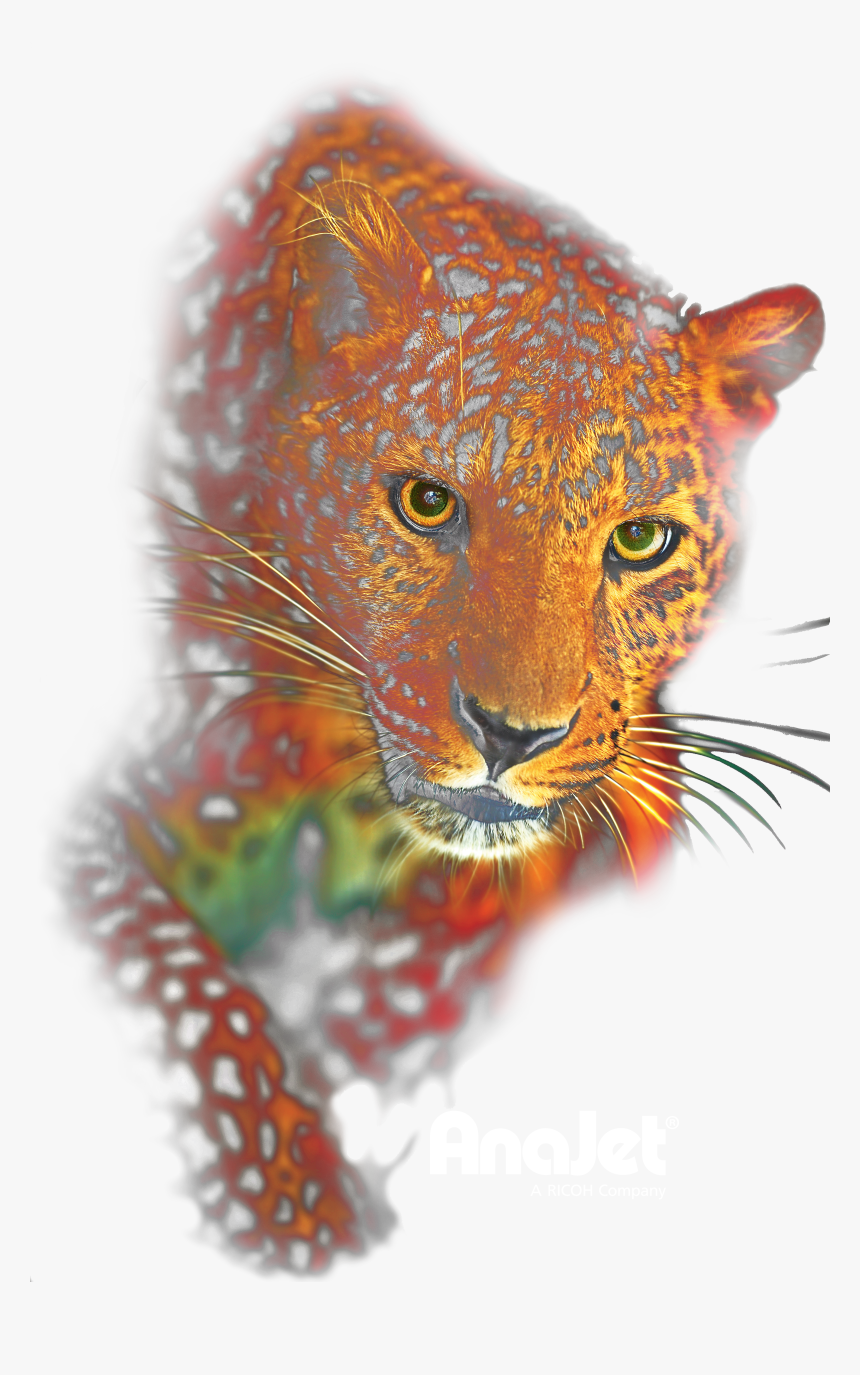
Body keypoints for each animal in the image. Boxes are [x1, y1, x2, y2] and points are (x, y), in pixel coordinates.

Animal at [66, 92, 827, 1274]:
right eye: (425, 504)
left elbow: (404, 1007)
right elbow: (188, 994)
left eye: (640, 541)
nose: (513, 736)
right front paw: (292, 1211)